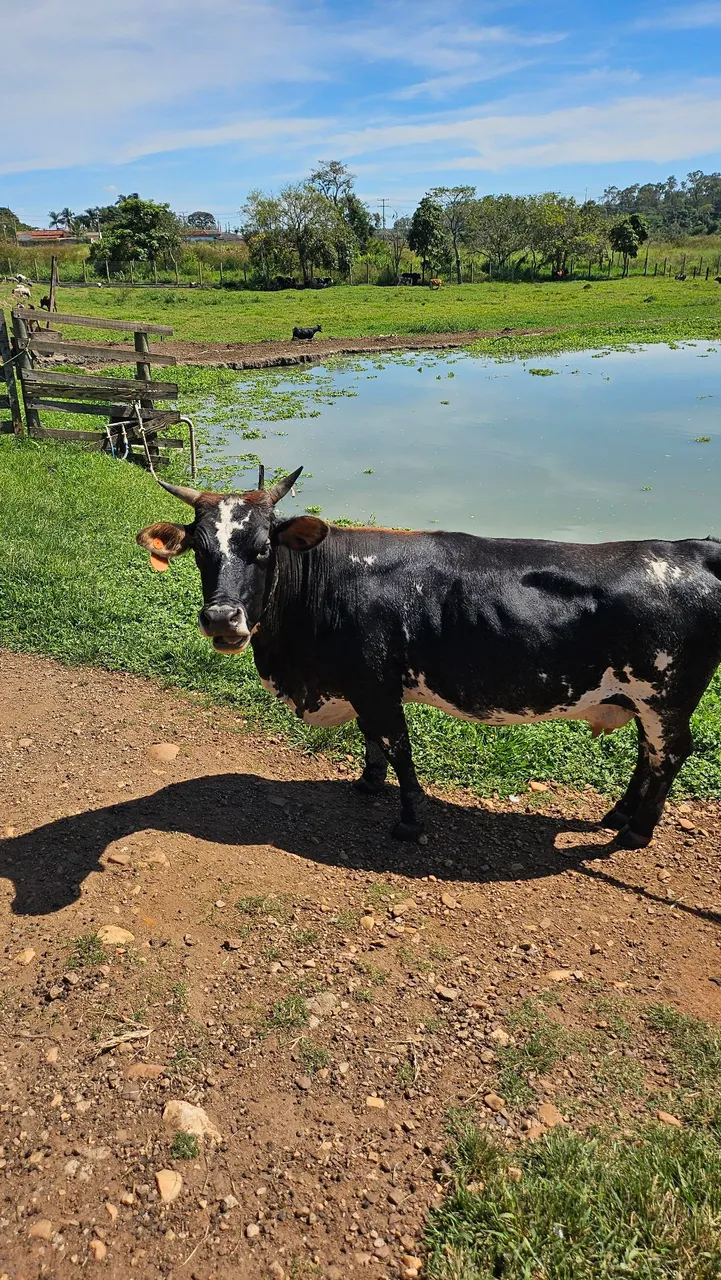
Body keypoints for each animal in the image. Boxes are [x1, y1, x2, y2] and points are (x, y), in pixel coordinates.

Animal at [137, 468, 721, 850]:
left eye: (262, 548)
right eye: (201, 552)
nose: (221, 619)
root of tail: (692, 548)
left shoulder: (375, 682)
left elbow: (399, 747)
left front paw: (410, 819)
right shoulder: (360, 684)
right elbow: (372, 739)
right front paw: (368, 782)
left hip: (665, 698)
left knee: (669, 754)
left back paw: (636, 831)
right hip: (643, 699)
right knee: (648, 753)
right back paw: (618, 813)